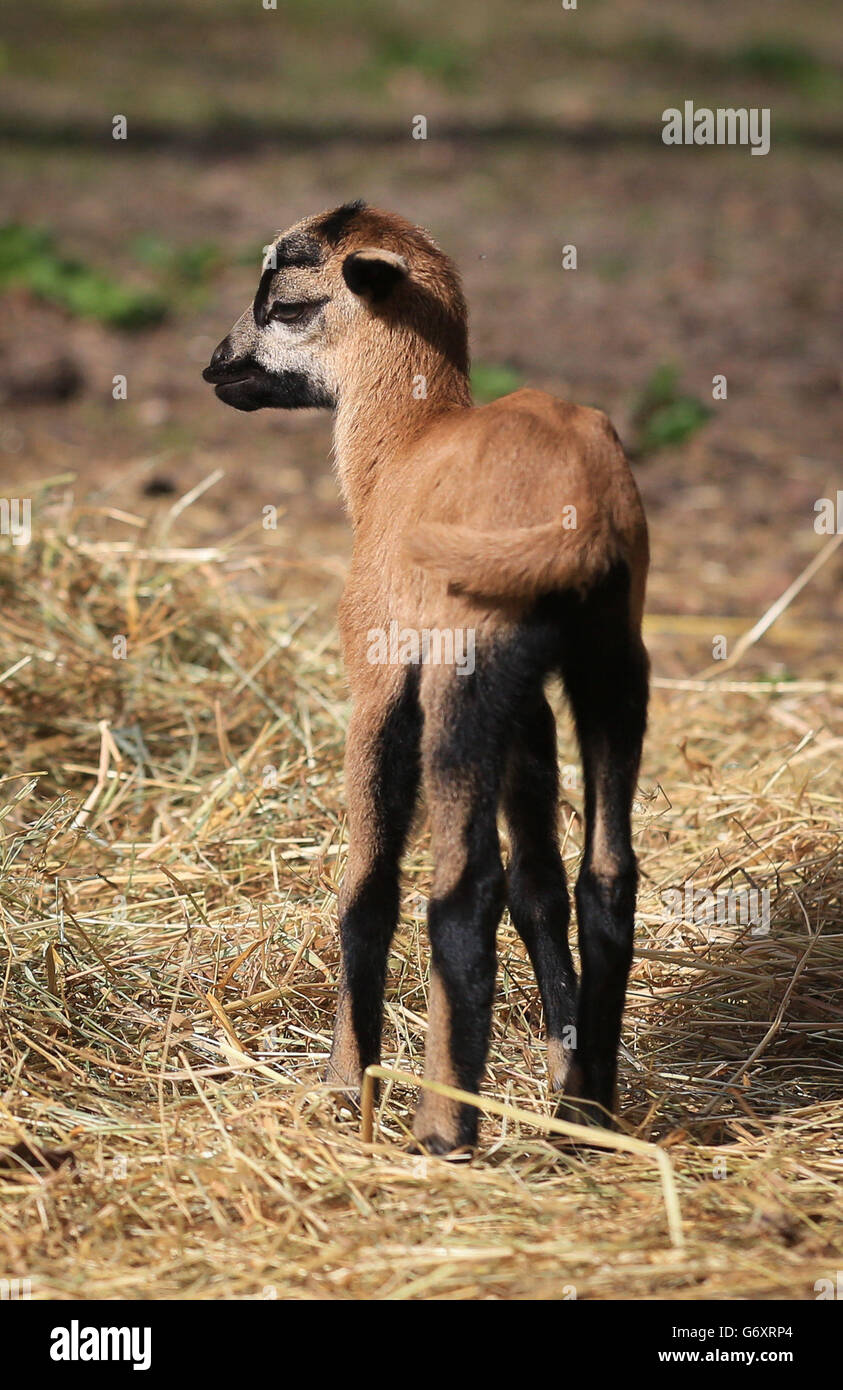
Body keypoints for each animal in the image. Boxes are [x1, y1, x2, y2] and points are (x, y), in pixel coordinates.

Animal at [203, 201, 649, 1155]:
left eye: (285, 306)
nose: (217, 367)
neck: (399, 449)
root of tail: (580, 519)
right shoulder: (531, 715)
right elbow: (539, 887)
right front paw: (558, 1074)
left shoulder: (379, 682)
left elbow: (367, 886)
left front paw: (344, 1083)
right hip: (610, 665)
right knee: (605, 877)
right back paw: (587, 1118)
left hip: (460, 684)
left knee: (462, 890)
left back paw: (442, 1127)